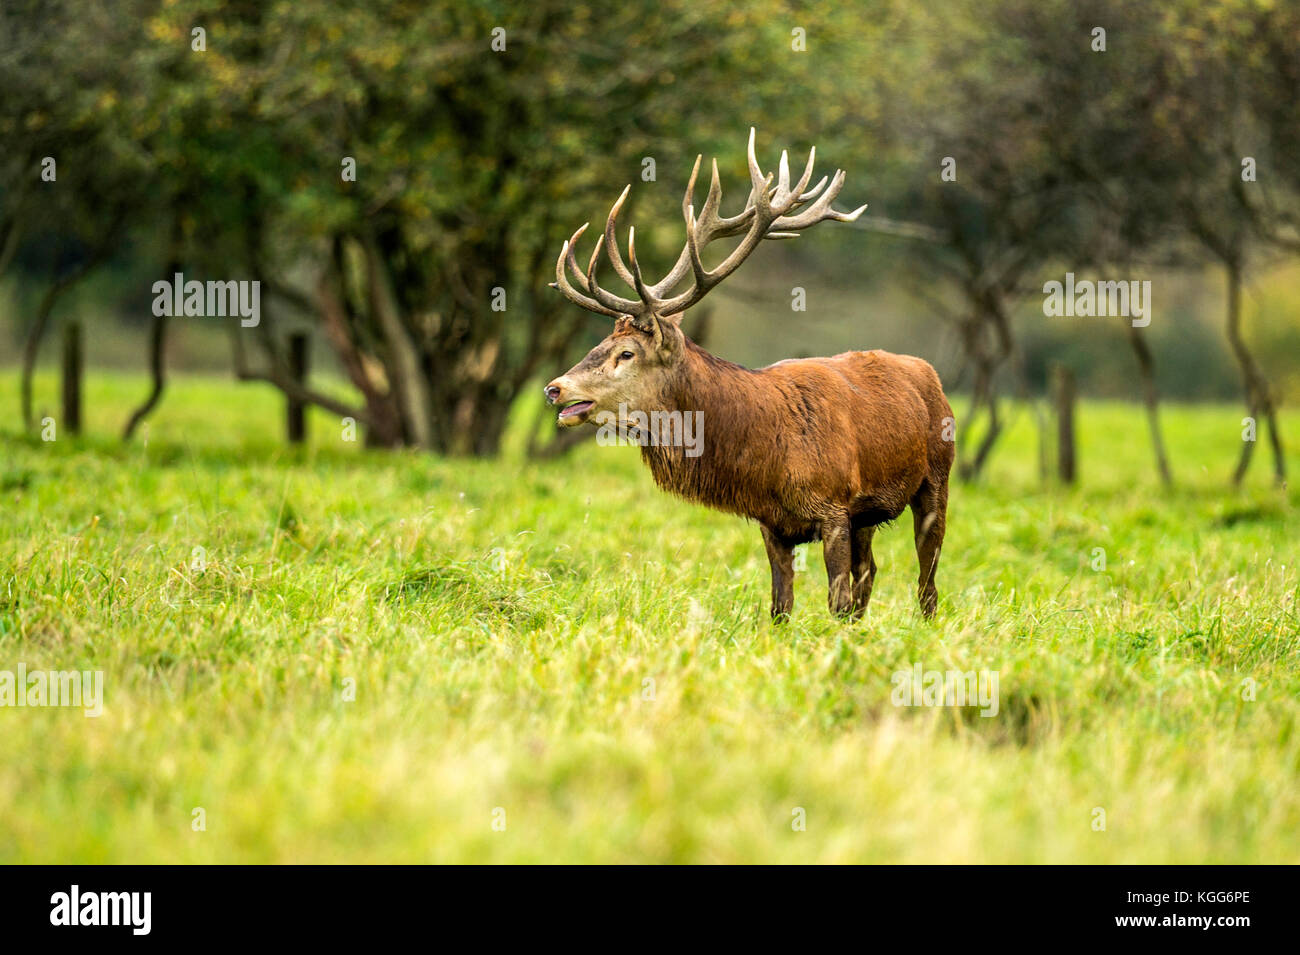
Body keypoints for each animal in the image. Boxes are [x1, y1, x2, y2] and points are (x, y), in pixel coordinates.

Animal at [545, 129, 954, 621]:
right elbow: (780, 605)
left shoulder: (835, 507)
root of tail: (929, 373)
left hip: (937, 477)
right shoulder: (772, 522)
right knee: (870, 573)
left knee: (926, 576)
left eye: (626, 353)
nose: (554, 388)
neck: (767, 457)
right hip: (868, 516)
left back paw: (926, 624)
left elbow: (835, 600)